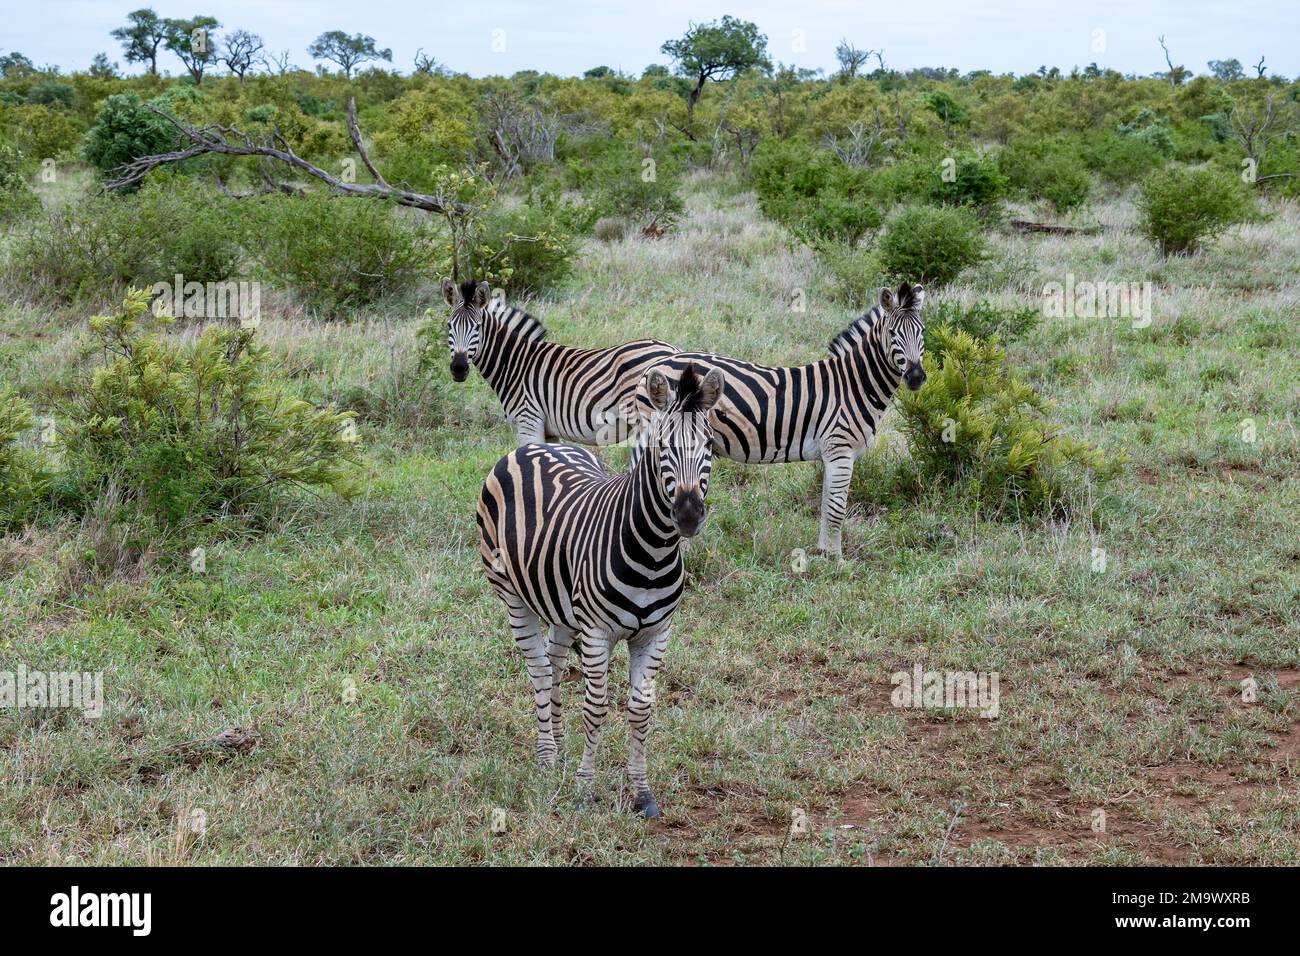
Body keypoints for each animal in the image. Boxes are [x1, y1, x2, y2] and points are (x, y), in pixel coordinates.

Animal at [443, 279, 678, 447]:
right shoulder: (549, 431)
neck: (515, 364)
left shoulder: (529, 421)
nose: (459, 368)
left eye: (478, 327)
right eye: (448, 326)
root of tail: (674, 350)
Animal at [476, 364, 724, 819]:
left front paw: (642, 794)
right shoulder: (596, 634)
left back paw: (559, 746)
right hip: (512, 596)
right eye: (661, 445)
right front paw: (585, 788)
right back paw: (548, 759)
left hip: (560, 605)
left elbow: (641, 710)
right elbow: (596, 708)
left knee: (555, 663)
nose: (688, 515)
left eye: (710, 444)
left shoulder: (656, 635)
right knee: (540, 670)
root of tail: (535, 446)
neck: (653, 551)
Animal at [634, 281, 926, 556]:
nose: (916, 377)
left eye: (922, 332)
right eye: (893, 334)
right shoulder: (841, 451)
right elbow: (836, 510)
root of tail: (654, 366)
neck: (853, 384)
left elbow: (826, 505)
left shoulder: (831, 455)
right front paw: (836, 560)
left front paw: (822, 552)